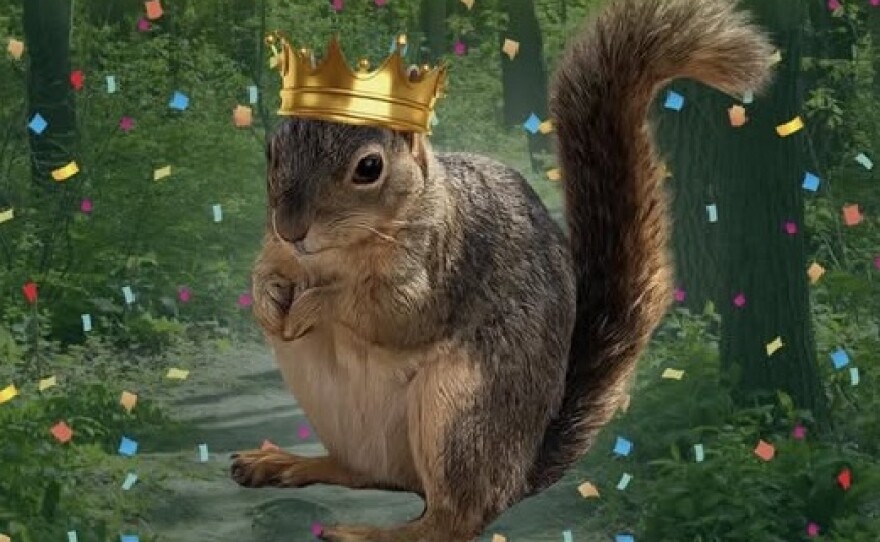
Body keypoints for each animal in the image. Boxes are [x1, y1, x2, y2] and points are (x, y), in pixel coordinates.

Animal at [230, 0, 774, 540]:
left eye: (369, 168)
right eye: (272, 151)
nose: (290, 228)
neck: (333, 254)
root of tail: (520, 470)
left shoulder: (442, 265)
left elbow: (392, 313)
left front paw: (314, 306)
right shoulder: (277, 251)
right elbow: (264, 271)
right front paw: (269, 302)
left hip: (460, 413)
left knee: (456, 517)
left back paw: (373, 532)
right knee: (368, 473)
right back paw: (285, 462)